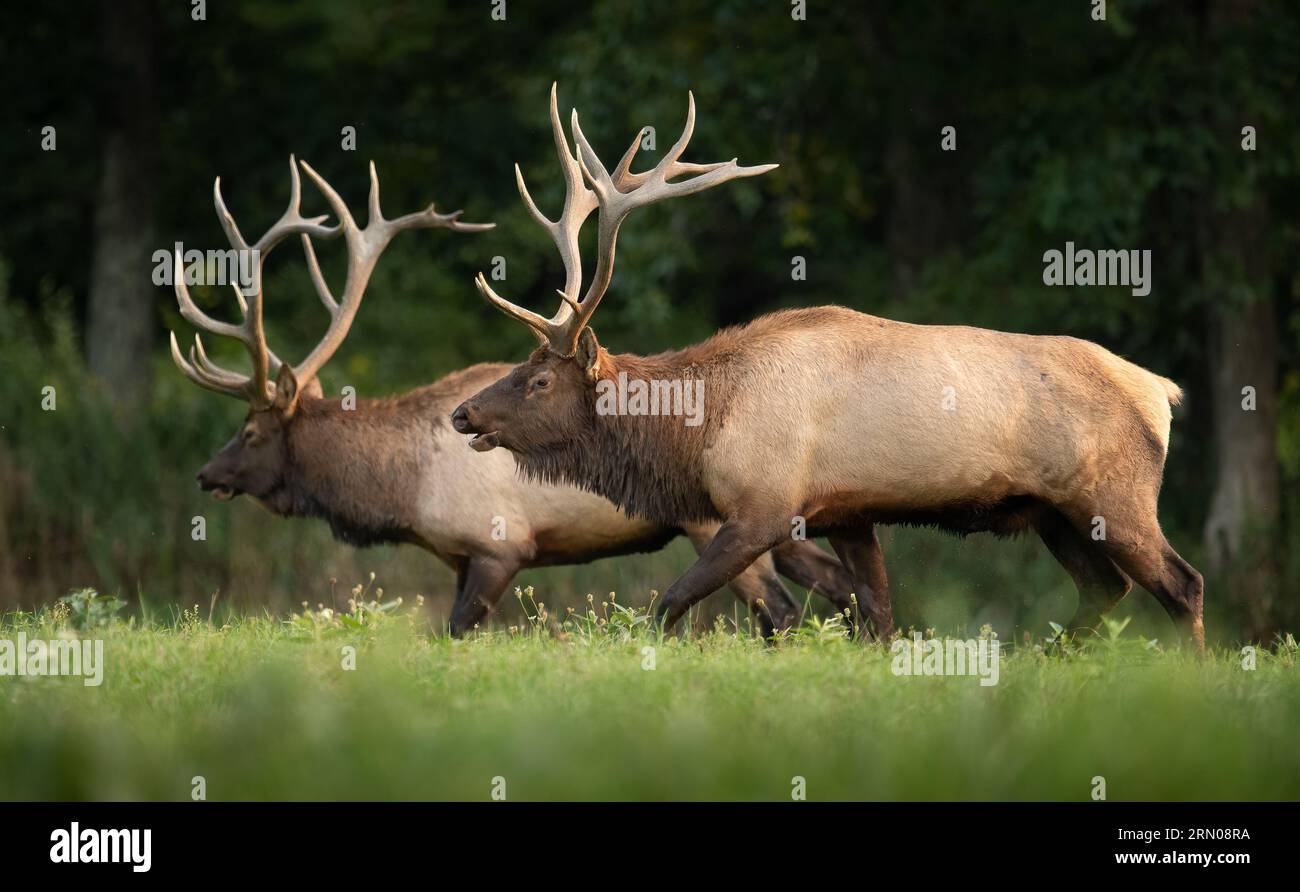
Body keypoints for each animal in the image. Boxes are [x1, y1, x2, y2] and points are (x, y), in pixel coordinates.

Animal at [168, 156, 854, 636]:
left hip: (715, 517)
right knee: (835, 583)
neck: (402, 489)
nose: (204, 473)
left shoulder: (499, 547)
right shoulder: (456, 558)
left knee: (784, 609)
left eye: (250, 432)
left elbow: (455, 632)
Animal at [450, 85, 1205, 650]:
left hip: (1116, 493)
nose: (463, 412)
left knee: (1181, 583)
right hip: (1051, 510)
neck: (697, 430)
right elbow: (878, 619)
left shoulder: (762, 506)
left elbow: (669, 605)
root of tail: (1162, 391)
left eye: (539, 379)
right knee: (1106, 587)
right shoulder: (848, 512)